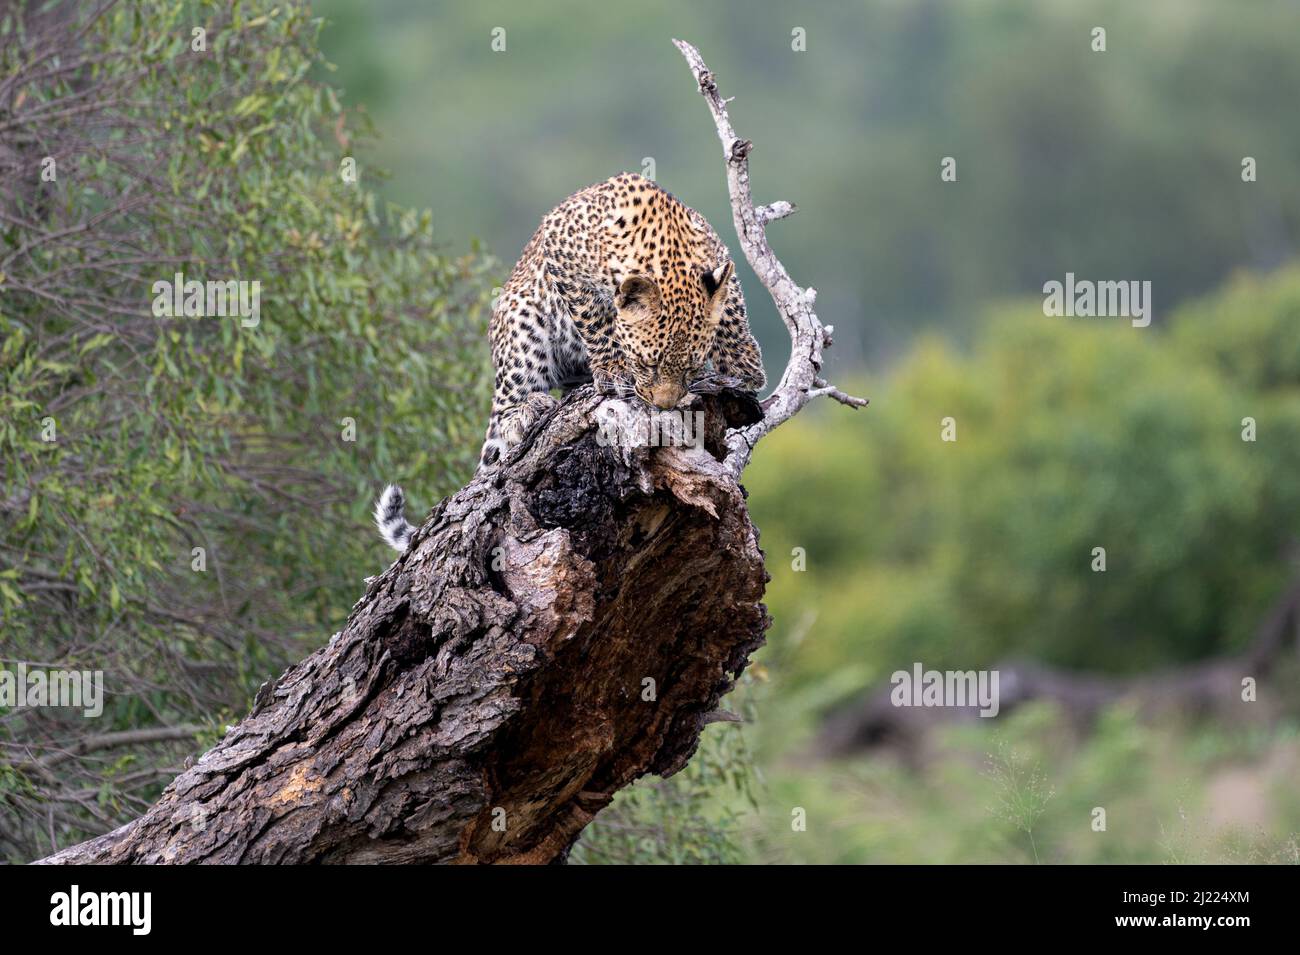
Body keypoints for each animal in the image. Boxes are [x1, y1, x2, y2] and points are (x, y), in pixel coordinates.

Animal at [374, 172, 764, 553]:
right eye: (647, 364)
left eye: (691, 369)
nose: (664, 405)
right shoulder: (561, 250)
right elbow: (595, 319)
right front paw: (612, 370)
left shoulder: (718, 258)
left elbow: (731, 305)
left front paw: (745, 366)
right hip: (523, 328)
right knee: (505, 410)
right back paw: (528, 411)